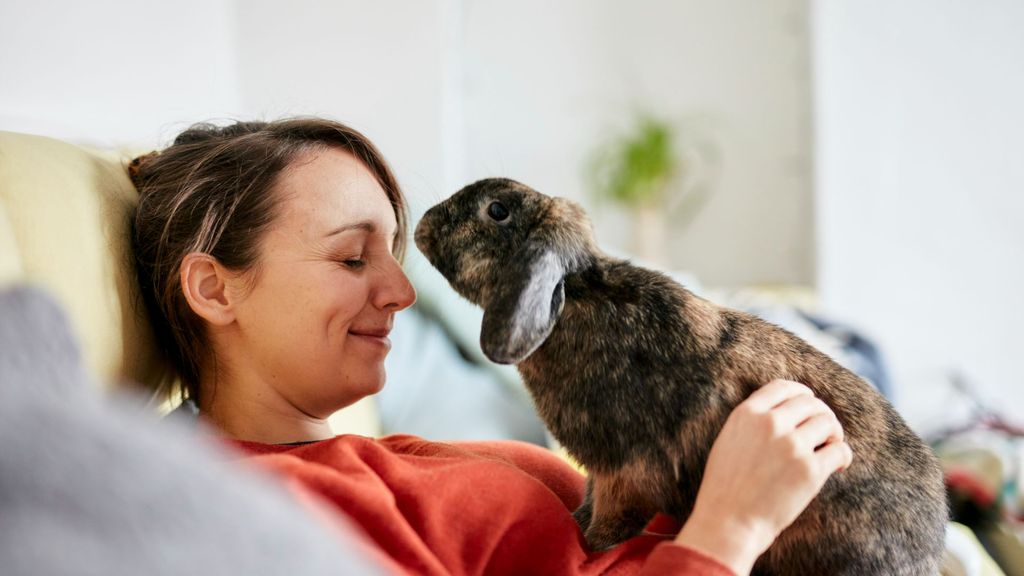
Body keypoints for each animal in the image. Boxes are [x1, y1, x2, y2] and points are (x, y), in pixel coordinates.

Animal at [413, 178, 948, 575]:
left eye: (497, 211)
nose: (422, 225)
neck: (578, 296)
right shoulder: (602, 475)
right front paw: (577, 524)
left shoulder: (625, 474)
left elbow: (608, 523)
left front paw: (586, 543)